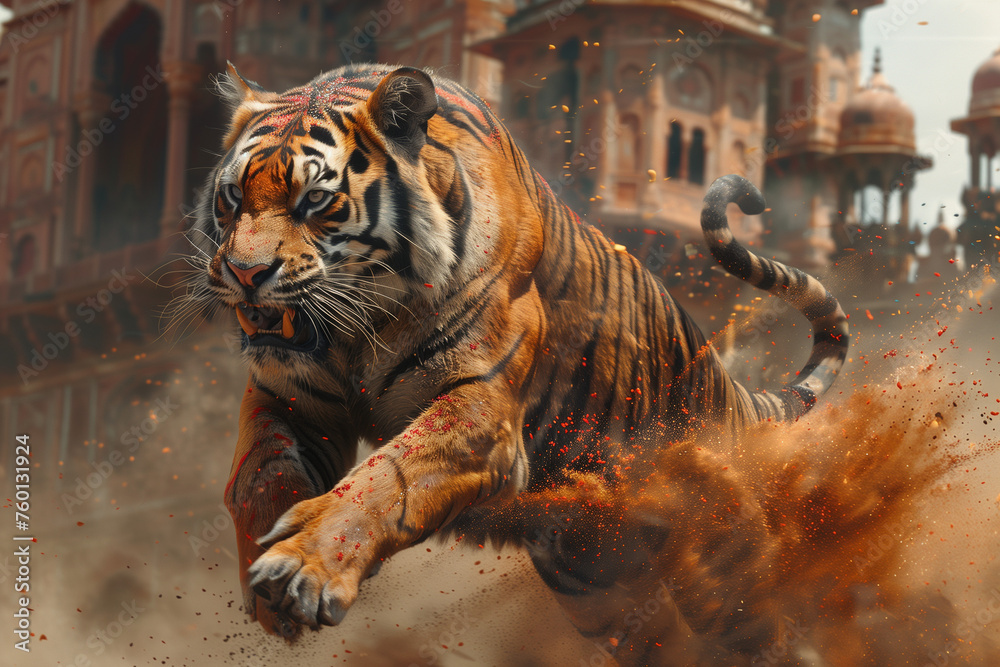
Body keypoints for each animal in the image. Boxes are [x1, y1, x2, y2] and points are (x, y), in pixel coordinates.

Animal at [184, 62, 849, 663]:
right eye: (233, 195)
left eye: (316, 199)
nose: (244, 274)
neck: (354, 330)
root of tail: (728, 392)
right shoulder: (290, 397)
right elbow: (258, 473)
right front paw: (267, 565)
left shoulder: (479, 407)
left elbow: (388, 475)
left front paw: (303, 565)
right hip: (598, 586)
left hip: (721, 566)